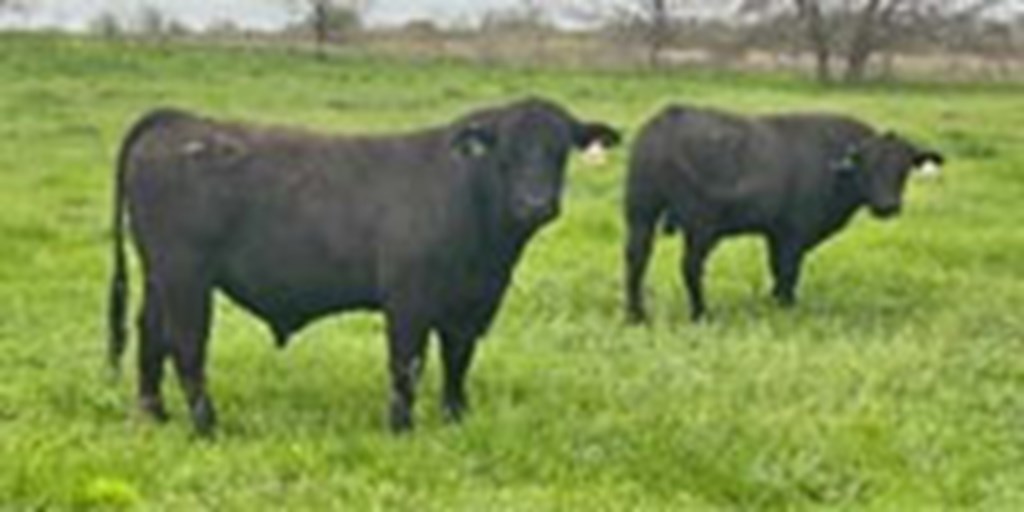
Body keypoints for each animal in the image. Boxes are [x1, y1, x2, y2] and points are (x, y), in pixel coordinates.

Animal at [107, 98, 621, 435]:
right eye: (506, 152)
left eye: (560, 150)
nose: (535, 204)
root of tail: (179, 121)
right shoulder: (409, 300)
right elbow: (406, 365)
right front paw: (402, 428)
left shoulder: (470, 307)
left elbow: (457, 363)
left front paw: (456, 419)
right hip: (185, 276)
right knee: (187, 346)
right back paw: (207, 427)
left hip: (158, 275)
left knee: (150, 335)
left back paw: (154, 415)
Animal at [624, 105, 944, 323]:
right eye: (869, 165)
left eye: (903, 167)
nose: (887, 206)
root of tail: (669, 117)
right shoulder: (793, 235)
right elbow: (789, 271)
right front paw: (787, 306)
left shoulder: (774, 234)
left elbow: (777, 270)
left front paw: (774, 301)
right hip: (701, 226)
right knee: (690, 266)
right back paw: (701, 314)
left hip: (640, 213)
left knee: (636, 259)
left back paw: (636, 315)